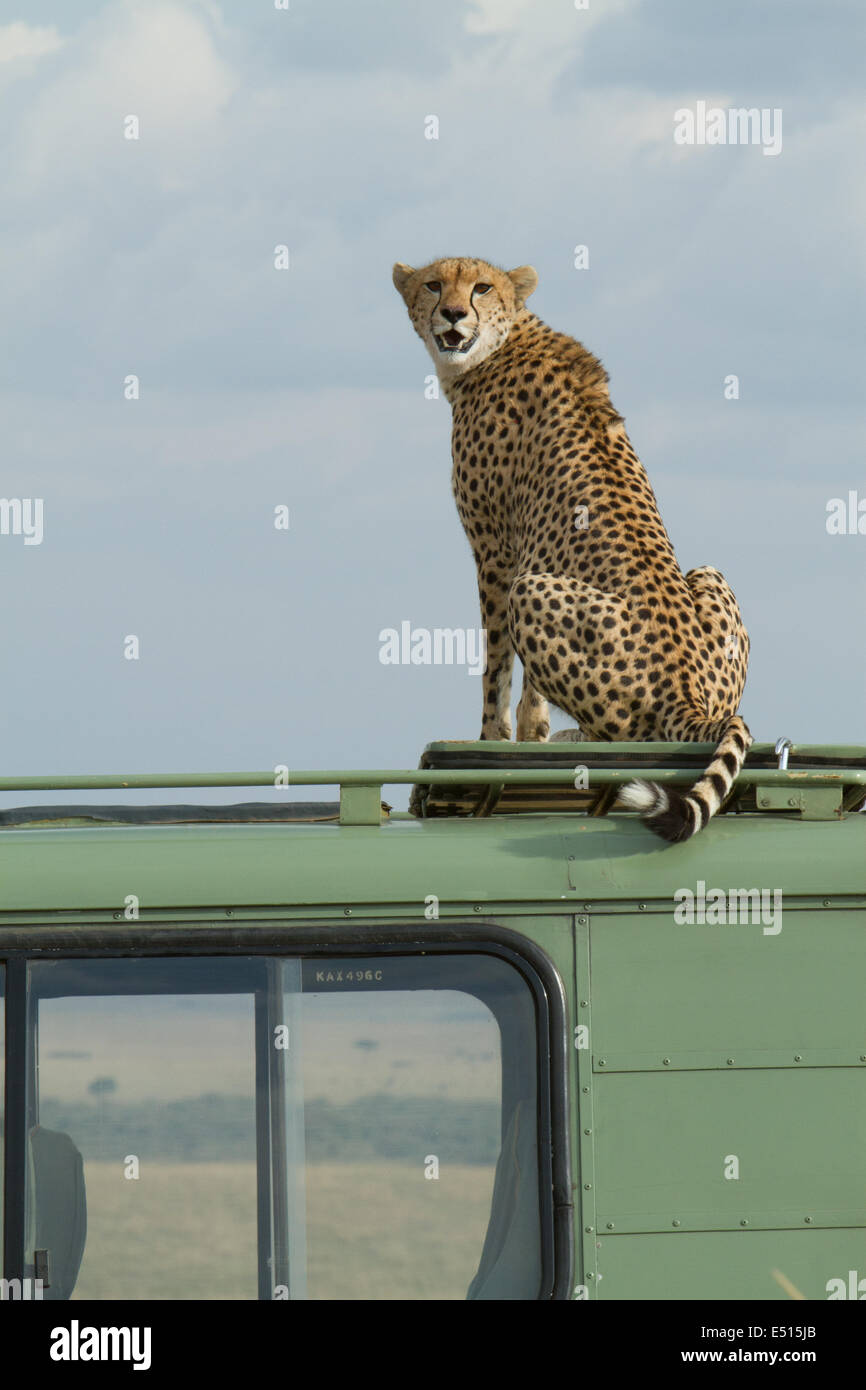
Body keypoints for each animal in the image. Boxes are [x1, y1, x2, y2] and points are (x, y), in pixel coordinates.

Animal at [393, 256, 752, 843]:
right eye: (433, 284)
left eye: (481, 287)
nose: (453, 313)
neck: (504, 341)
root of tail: (690, 690)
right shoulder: (522, 550)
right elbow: (528, 687)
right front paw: (531, 734)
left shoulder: (497, 553)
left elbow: (495, 662)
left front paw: (491, 737)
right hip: (709, 574)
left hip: (531, 590)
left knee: (630, 736)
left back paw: (574, 739)